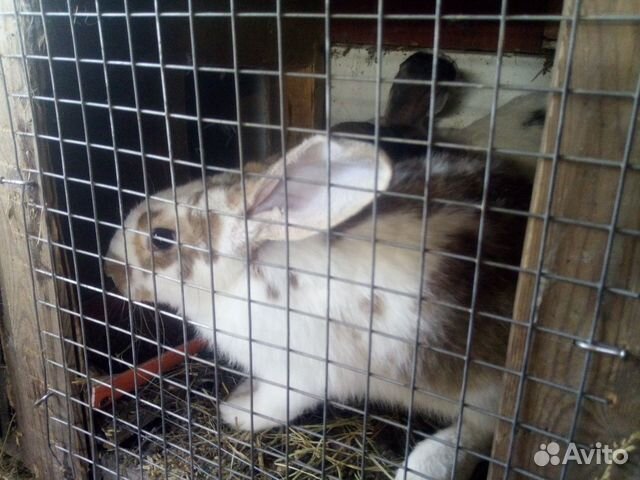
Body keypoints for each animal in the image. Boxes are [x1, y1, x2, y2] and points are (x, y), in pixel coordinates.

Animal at [105, 134, 531, 479]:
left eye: (161, 238)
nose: (110, 270)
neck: (244, 276)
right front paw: (242, 392)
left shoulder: (302, 372)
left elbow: (276, 405)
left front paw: (237, 412)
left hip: (482, 392)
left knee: (477, 432)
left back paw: (424, 466)